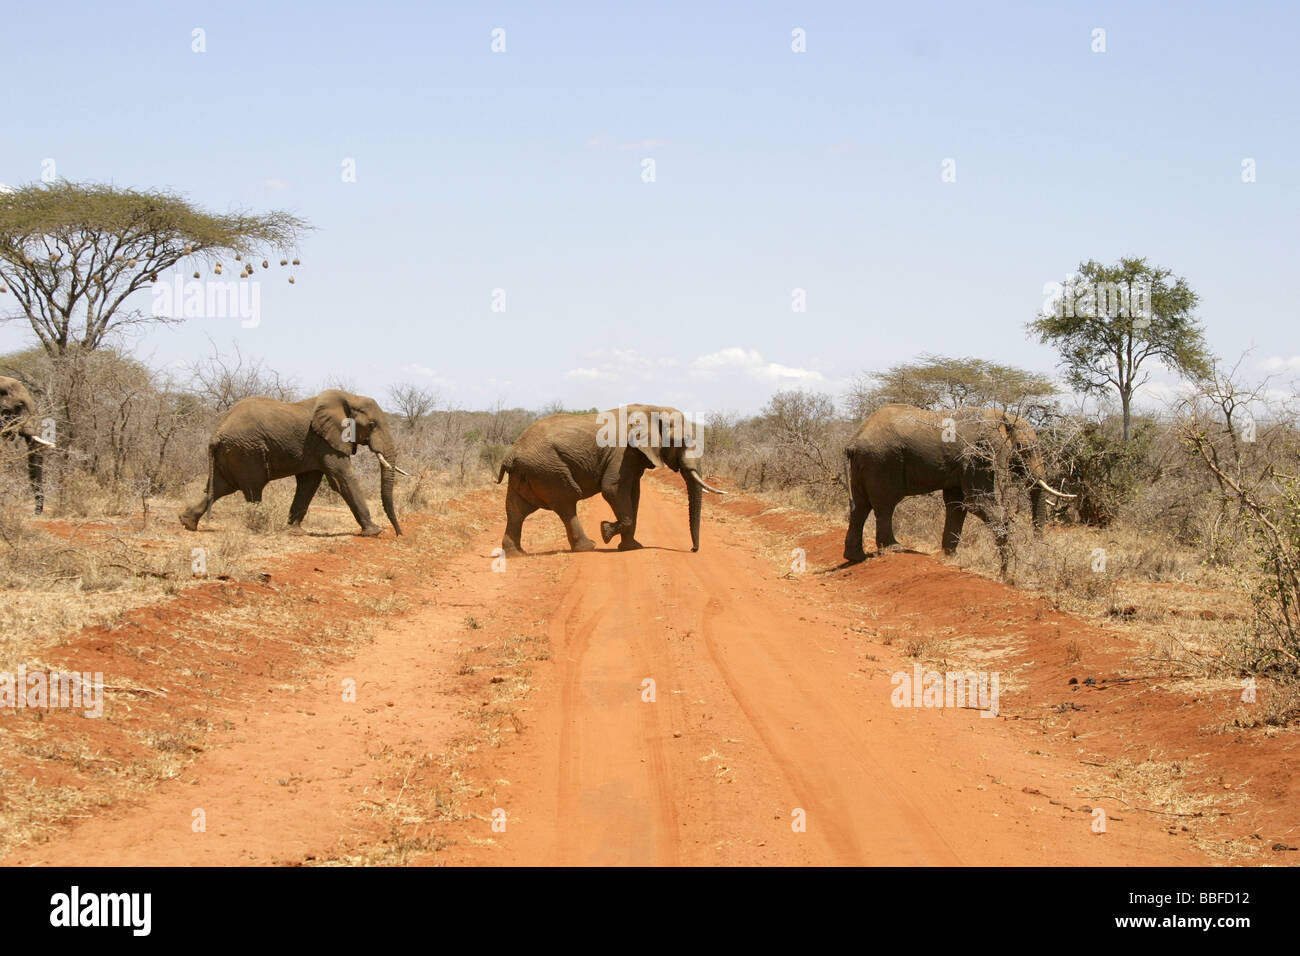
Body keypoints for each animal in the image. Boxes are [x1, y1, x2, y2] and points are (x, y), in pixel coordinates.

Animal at [179, 389, 408, 536]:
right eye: (372, 424)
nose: (399, 534)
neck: (350, 398)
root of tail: (216, 433)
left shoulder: (316, 447)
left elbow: (309, 483)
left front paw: (295, 531)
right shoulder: (325, 442)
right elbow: (342, 478)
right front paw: (375, 532)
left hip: (231, 452)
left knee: (221, 486)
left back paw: (187, 522)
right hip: (246, 451)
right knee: (252, 488)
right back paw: (262, 527)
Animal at [496, 403, 726, 555]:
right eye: (682, 441)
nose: (693, 549)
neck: (652, 408)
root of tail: (510, 454)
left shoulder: (633, 457)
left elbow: (634, 494)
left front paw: (631, 548)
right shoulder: (622, 451)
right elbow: (612, 489)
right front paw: (606, 531)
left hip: (528, 472)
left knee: (516, 510)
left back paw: (516, 554)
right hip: (548, 469)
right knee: (567, 502)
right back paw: (589, 547)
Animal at [843, 404, 1075, 566]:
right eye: (1023, 449)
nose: (1036, 547)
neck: (997, 414)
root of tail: (852, 443)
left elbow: (956, 504)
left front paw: (950, 555)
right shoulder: (977, 455)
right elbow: (977, 501)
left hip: (866, 463)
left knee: (861, 506)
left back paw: (856, 557)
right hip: (882, 461)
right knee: (885, 504)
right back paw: (894, 549)